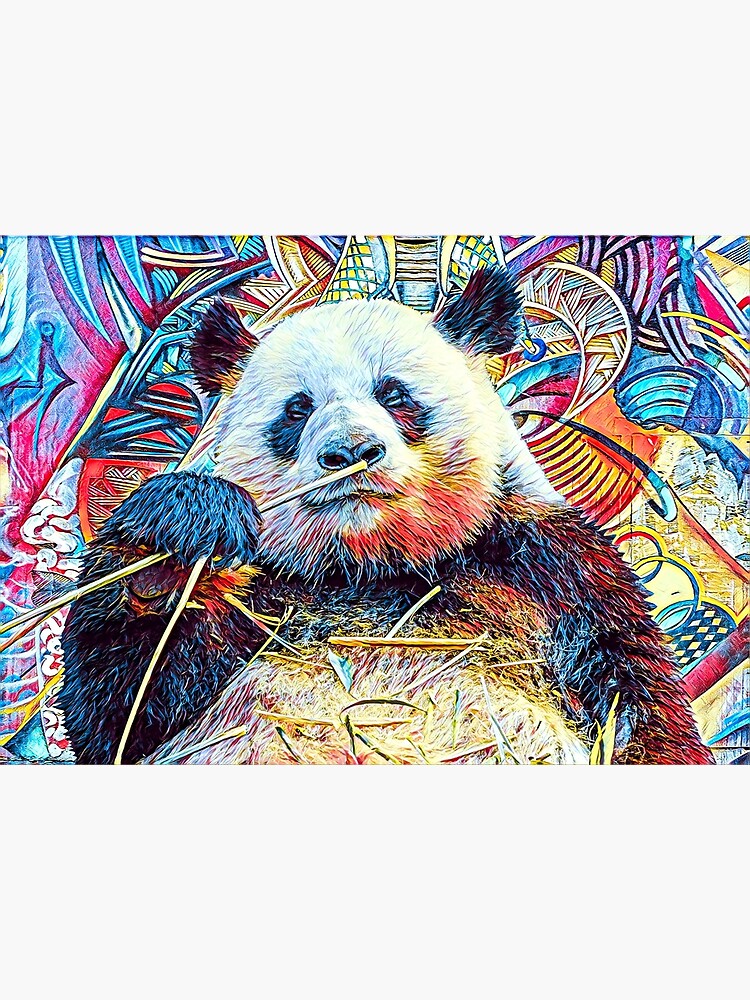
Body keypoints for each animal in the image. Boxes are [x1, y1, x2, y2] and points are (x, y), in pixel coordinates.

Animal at [57, 267, 713, 765]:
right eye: (297, 409)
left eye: (393, 394)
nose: (350, 453)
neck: (373, 562)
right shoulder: (268, 595)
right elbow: (125, 715)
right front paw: (183, 528)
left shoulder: (554, 571)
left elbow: (639, 707)